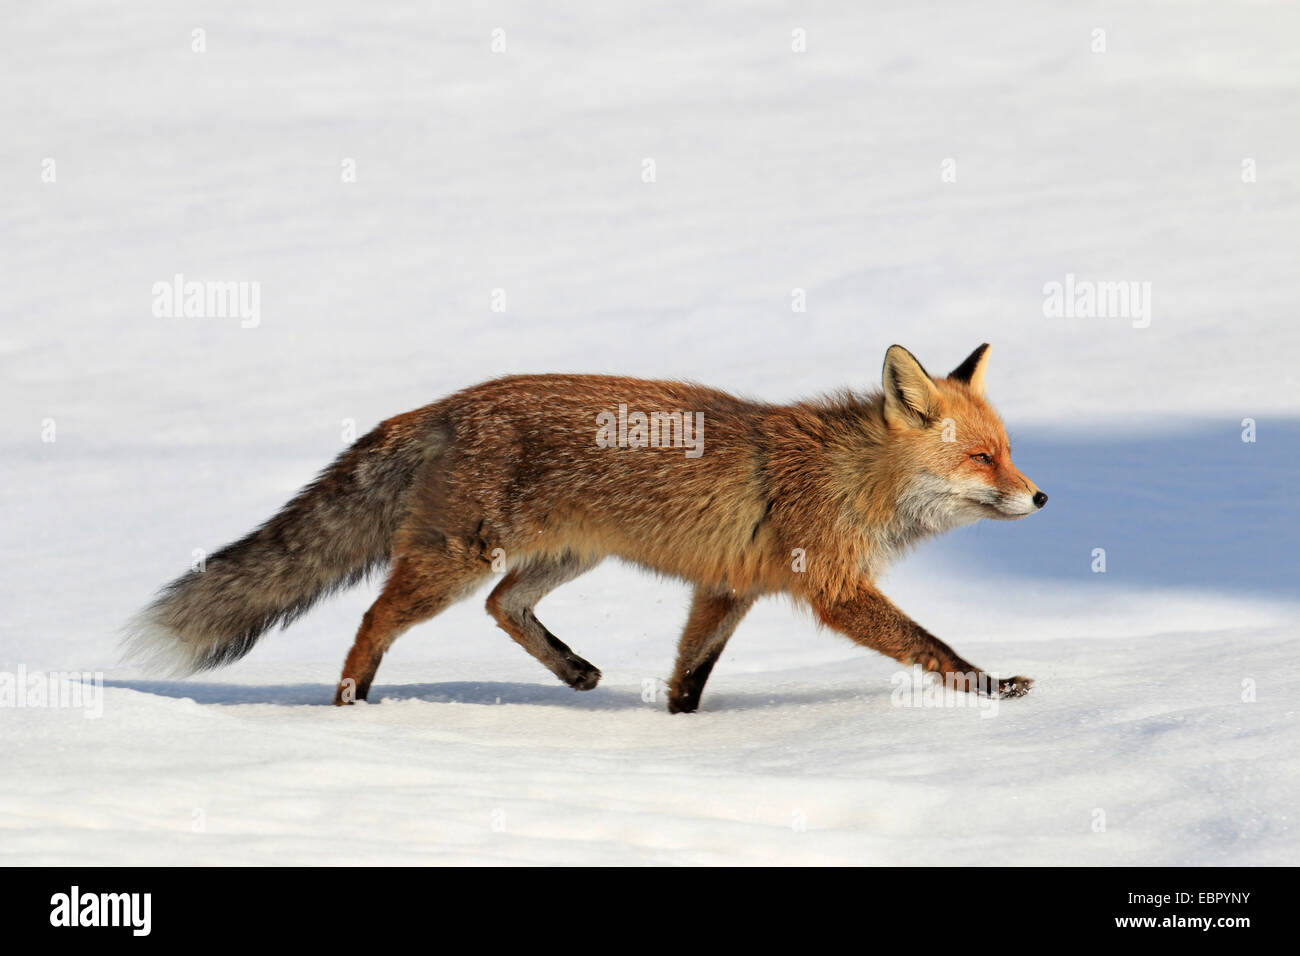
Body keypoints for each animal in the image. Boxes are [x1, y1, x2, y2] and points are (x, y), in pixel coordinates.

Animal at [126, 343, 1046, 712]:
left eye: (1008, 452)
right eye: (983, 458)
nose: (1041, 500)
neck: (850, 477)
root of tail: (435, 407)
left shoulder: (726, 588)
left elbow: (689, 677)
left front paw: (680, 734)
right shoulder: (834, 589)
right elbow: (933, 648)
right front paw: (993, 690)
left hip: (566, 556)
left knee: (503, 607)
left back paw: (573, 671)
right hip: (458, 561)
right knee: (374, 618)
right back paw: (350, 706)